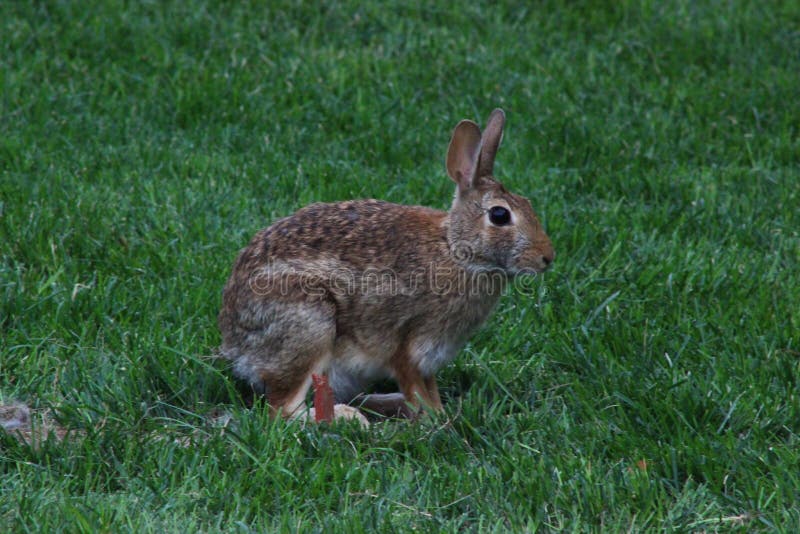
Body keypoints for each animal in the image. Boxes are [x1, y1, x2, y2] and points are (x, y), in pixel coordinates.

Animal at [218, 109, 554, 418]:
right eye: (499, 215)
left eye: (528, 204)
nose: (547, 257)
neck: (456, 250)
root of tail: (236, 343)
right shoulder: (409, 345)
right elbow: (417, 389)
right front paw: (437, 419)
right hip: (309, 324)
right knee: (283, 410)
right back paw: (349, 419)